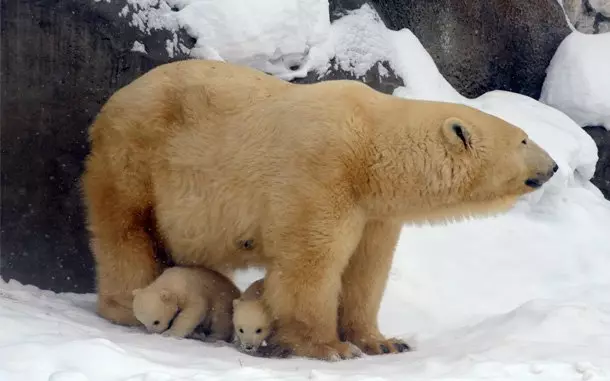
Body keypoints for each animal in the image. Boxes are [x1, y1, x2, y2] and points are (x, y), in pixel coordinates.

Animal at [81, 58, 556, 360]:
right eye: (524, 139)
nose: (552, 166)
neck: (369, 147)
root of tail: (109, 107)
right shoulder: (321, 174)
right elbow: (310, 263)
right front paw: (330, 347)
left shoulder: (374, 210)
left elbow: (366, 271)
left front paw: (383, 342)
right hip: (134, 158)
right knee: (126, 230)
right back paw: (127, 306)